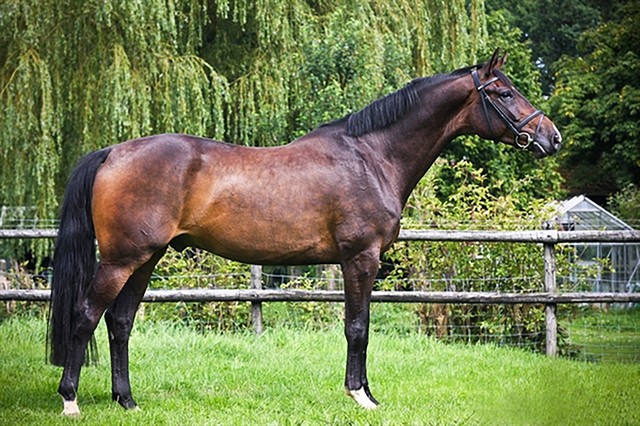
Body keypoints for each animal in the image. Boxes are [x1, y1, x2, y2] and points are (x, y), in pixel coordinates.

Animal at [49, 49, 561, 415]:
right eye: (504, 93)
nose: (551, 137)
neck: (371, 156)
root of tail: (112, 152)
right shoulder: (361, 258)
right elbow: (357, 327)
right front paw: (361, 397)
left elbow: (361, 327)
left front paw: (368, 392)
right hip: (121, 259)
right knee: (86, 315)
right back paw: (70, 400)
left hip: (146, 258)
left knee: (120, 322)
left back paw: (127, 401)